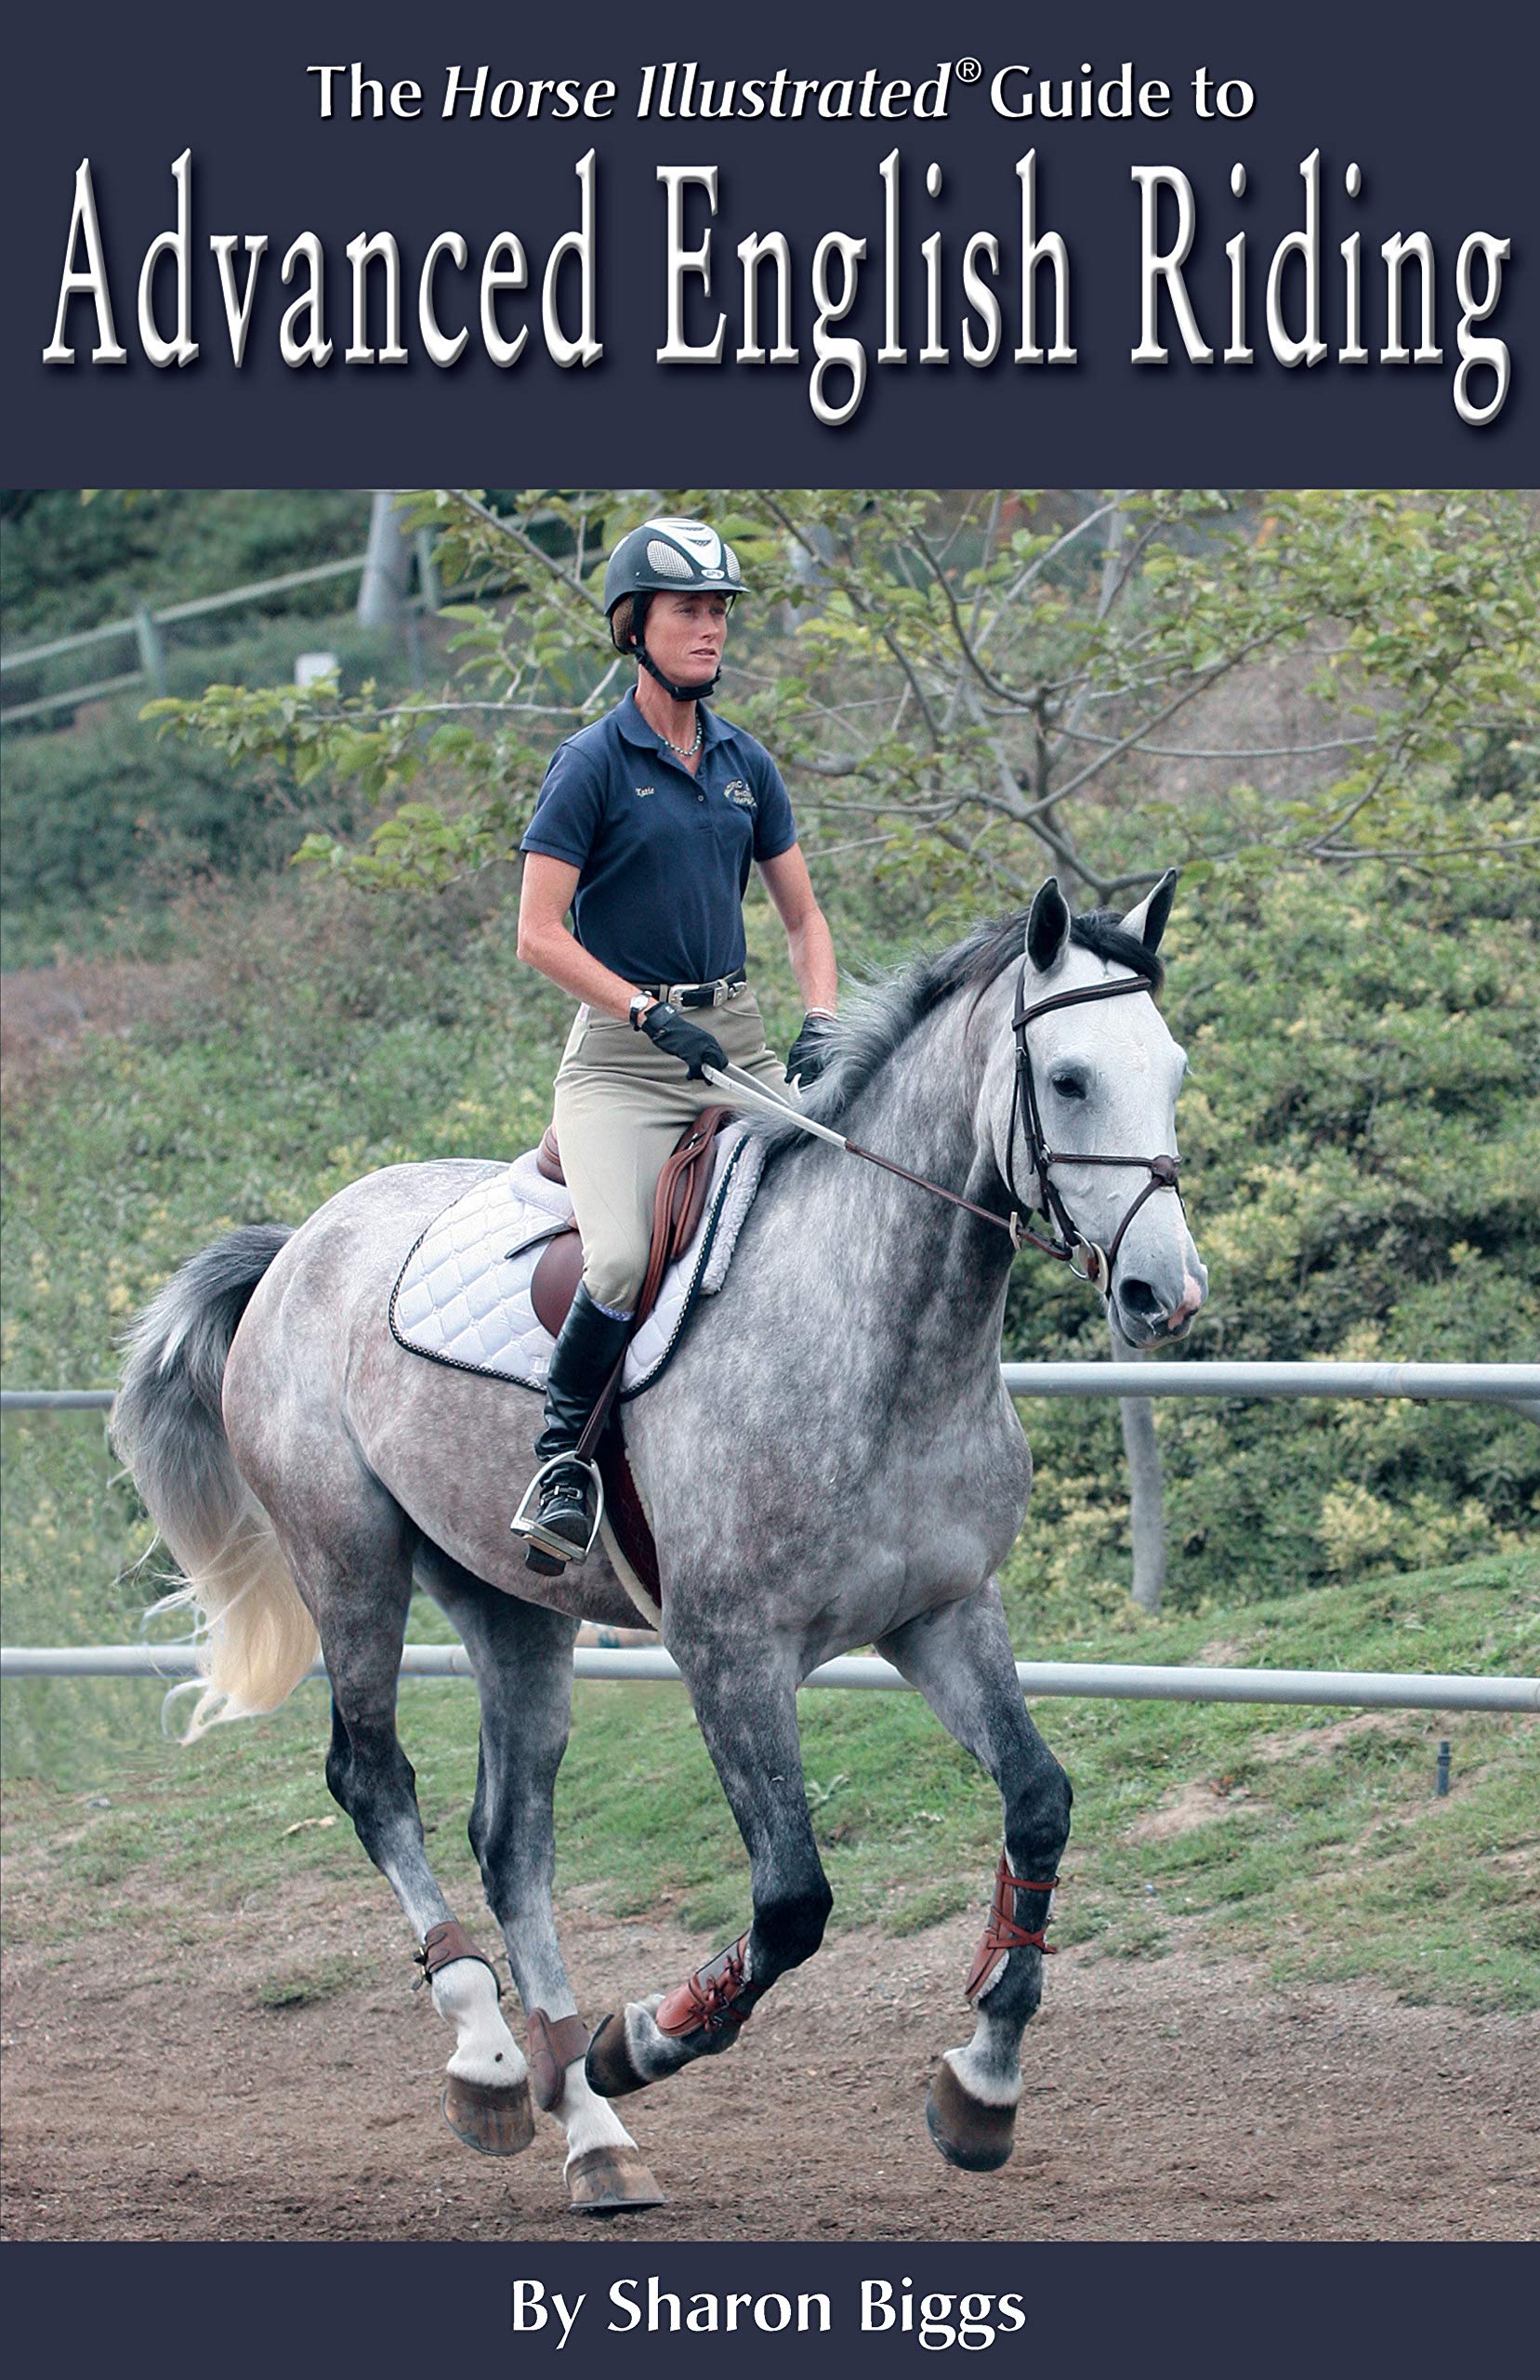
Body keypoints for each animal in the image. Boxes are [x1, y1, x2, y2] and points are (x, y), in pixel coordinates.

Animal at [112, 872, 1207, 2213]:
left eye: (1170, 1066)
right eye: (1068, 1078)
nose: (1166, 1292)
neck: (876, 1334)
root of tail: (302, 1242)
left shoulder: (941, 1612)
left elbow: (1038, 1804)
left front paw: (983, 2082)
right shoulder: (728, 1653)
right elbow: (791, 1902)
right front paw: (646, 2037)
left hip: (511, 1608)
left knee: (510, 1842)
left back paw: (590, 2131)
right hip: (350, 1565)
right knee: (374, 1783)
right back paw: (495, 2059)